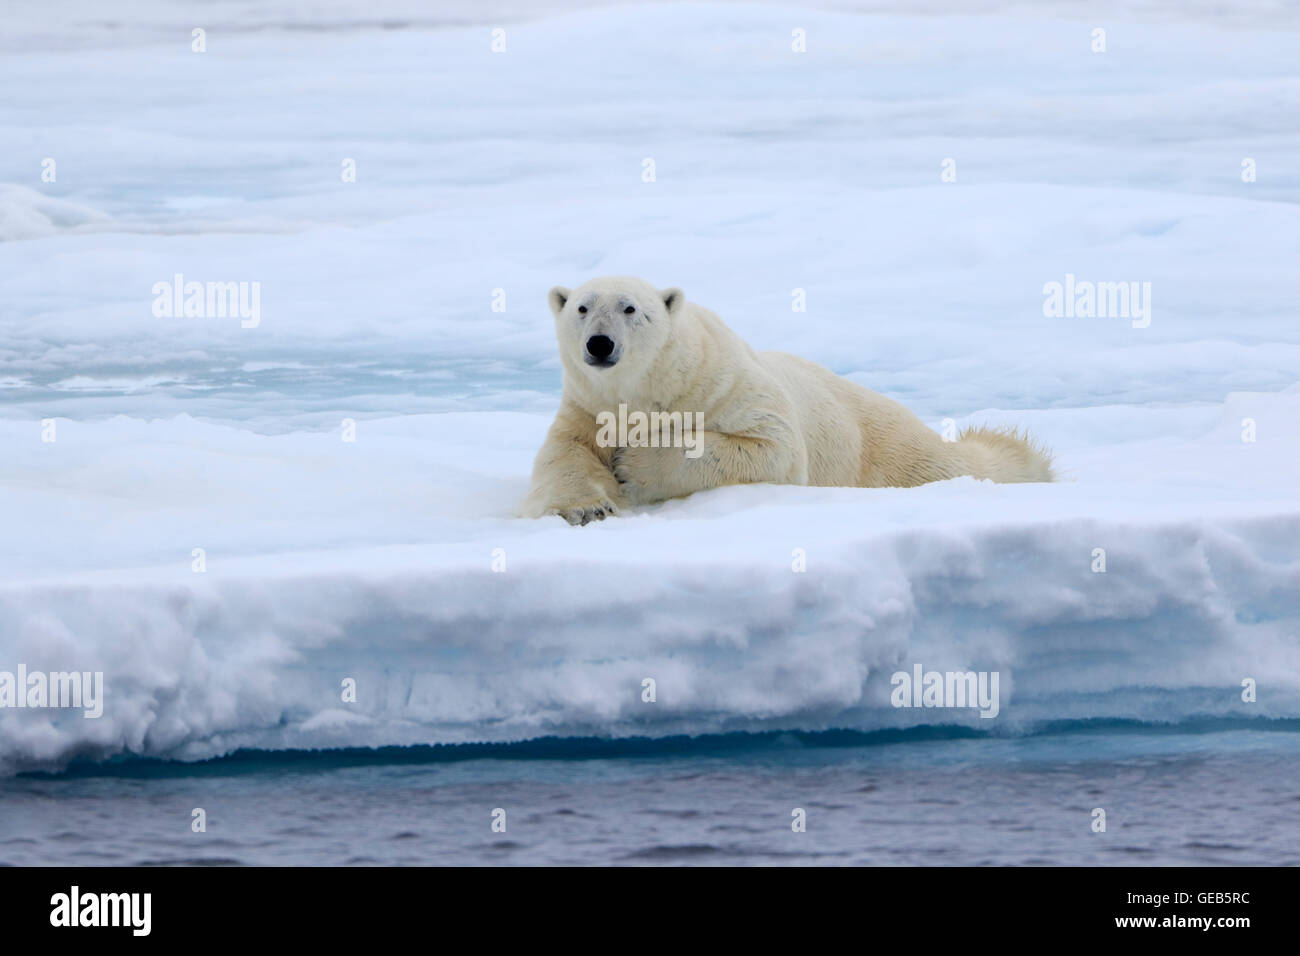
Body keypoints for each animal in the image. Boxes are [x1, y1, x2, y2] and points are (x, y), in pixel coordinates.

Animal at [522, 276, 1053, 525]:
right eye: (582, 307)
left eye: (631, 308)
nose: (600, 343)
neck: (645, 391)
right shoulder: (586, 408)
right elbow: (563, 456)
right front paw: (589, 508)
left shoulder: (721, 384)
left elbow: (770, 449)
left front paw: (632, 465)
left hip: (890, 451)